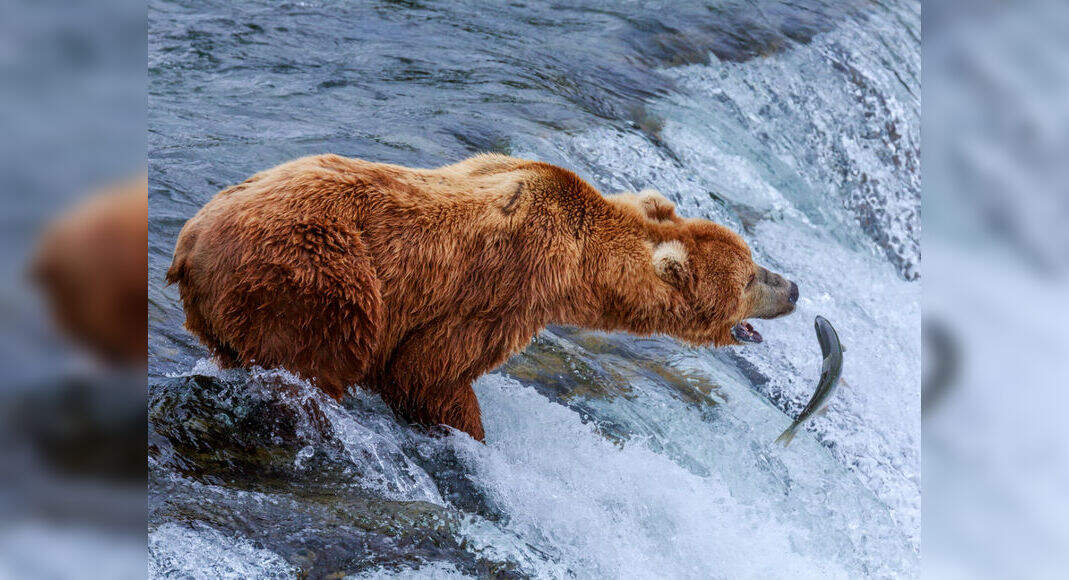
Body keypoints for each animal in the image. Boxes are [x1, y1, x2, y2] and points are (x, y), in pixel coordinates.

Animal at [166, 154, 798, 441]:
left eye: (754, 262)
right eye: (750, 278)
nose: (793, 287)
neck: (580, 263)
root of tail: (190, 241)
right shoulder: (509, 283)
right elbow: (430, 372)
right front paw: (469, 429)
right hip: (314, 281)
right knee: (318, 361)